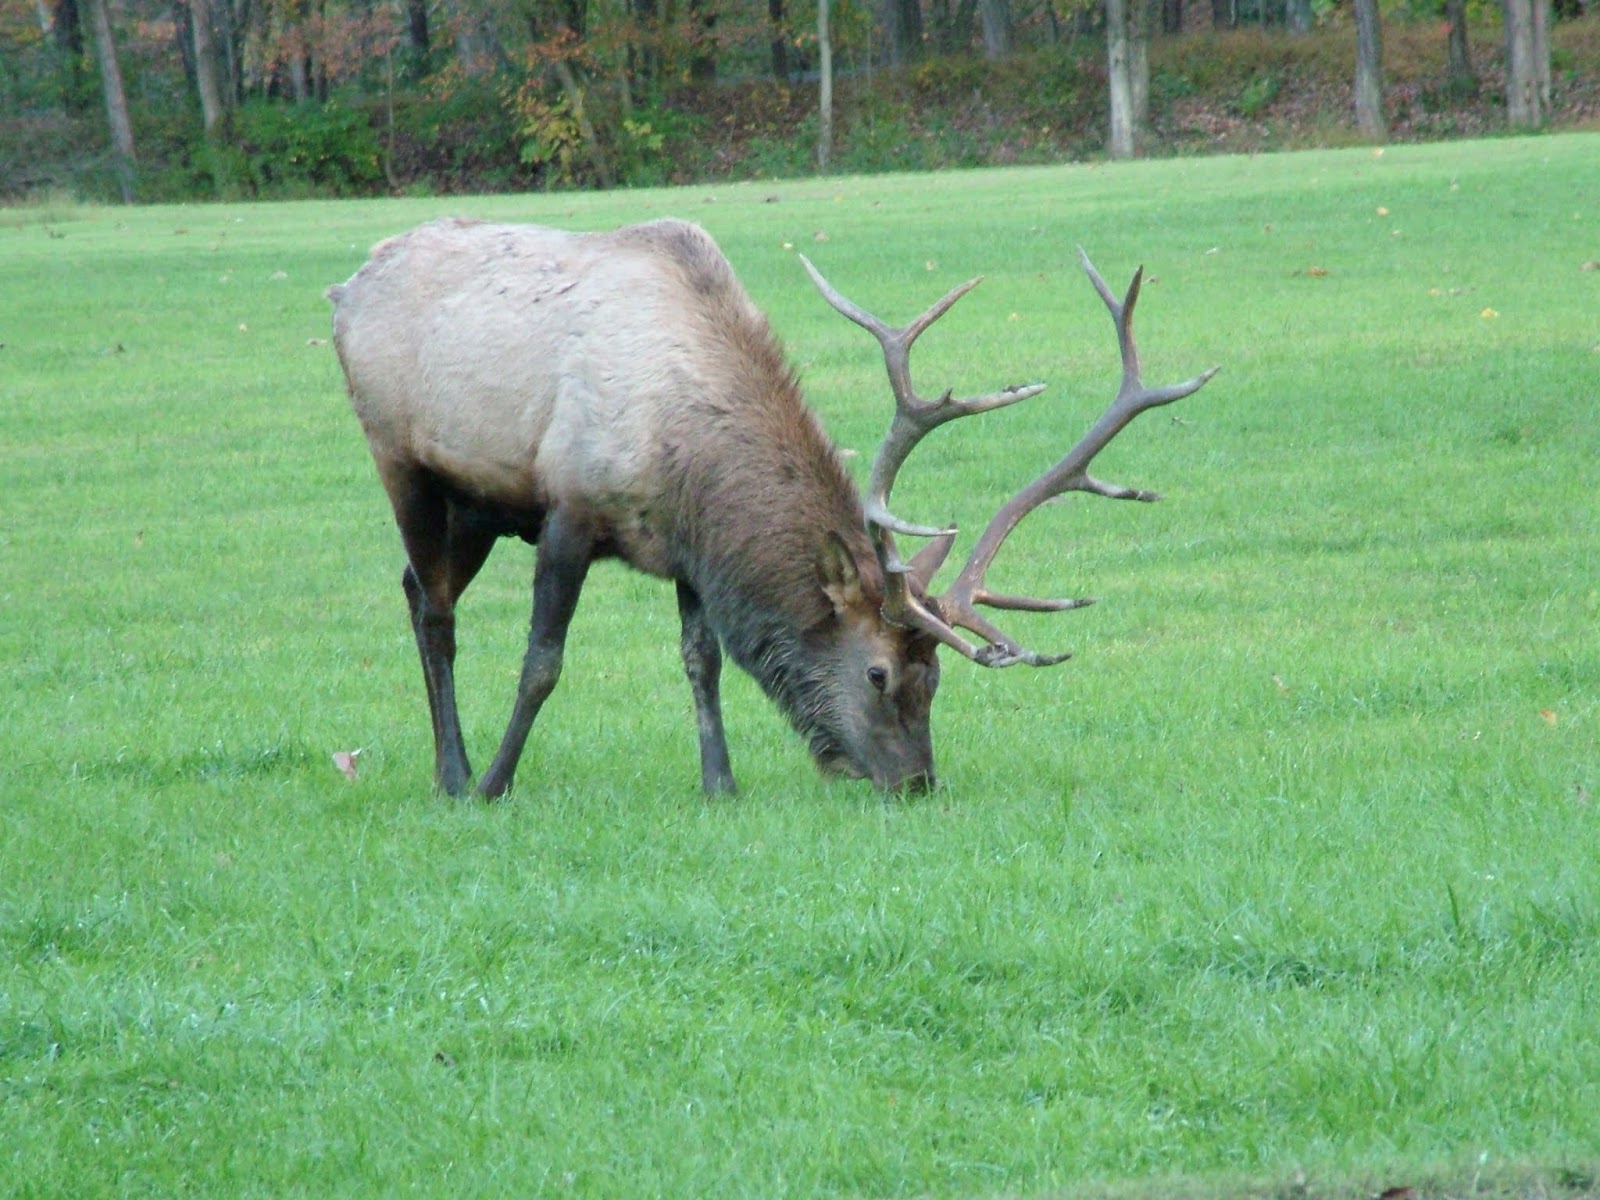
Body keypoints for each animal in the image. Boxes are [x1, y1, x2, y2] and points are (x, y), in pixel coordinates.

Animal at [327, 216, 1216, 798]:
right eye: (879, 674)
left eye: (936, 680)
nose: (918, 782)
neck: (685, 450)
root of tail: (346, 286)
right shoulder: (570, 509)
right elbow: (543, 661)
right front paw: (497, 784)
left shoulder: (686, 548)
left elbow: (703, 658)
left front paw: (719, 783)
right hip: (401, 459)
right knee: (435, 610)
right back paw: (454, 773)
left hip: (476, 503)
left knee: (415, 587)